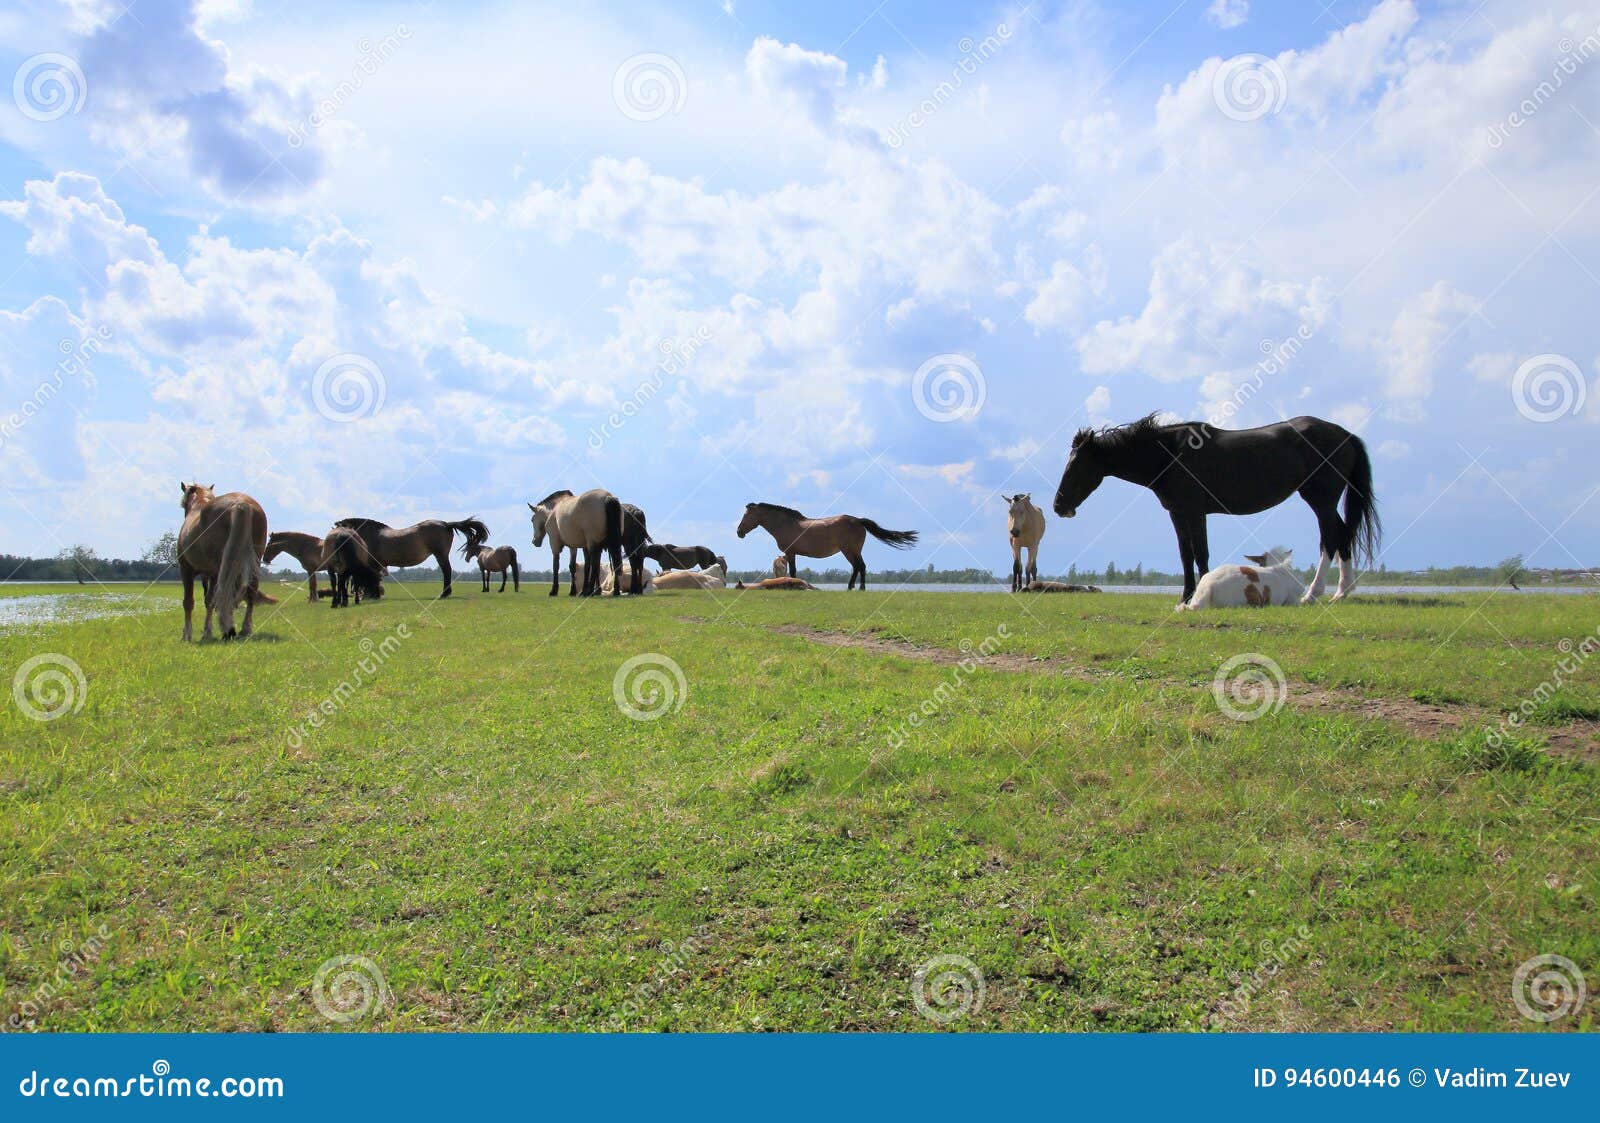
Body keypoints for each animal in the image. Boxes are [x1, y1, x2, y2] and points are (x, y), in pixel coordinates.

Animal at [177, 482, 268, 641]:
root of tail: (241, 503)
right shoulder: (211, 574)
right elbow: (209, 601)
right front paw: (207, 632)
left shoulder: (186, 569)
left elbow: (189, 602)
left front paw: (187, 635)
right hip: (253, 562)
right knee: (250, 591)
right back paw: (245, 629)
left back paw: (228, 629)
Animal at [332, 516, 489, 599]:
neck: (371, 535)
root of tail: (446, 524)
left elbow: (373, 578)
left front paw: (372, 595)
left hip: (441, 555)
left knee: (447, 571)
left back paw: (444, 593)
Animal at [735, 503, 918, 591]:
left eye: (746, 515)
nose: (739, 532)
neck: (786, 524)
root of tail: (858, 520)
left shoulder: (790, 553)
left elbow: (793, 572)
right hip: (852, 551)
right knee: (858, 567)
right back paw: (852, 587)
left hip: (850, 550)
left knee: (860, 566)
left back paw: (859, 587)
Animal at [1053, 414, 1379, 606]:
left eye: (1077, 466)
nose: (1058, 506)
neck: (1169, 454)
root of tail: (1345, 434)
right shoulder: (1178, 513)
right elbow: (1185, 555)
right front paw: (1185, 597)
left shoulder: (1195, 512)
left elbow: (1200, 554)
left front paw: (1196, 593)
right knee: (1344, 535)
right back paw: (1342, 591)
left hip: (1321, 500)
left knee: (1331, 538)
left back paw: (1315, 593)